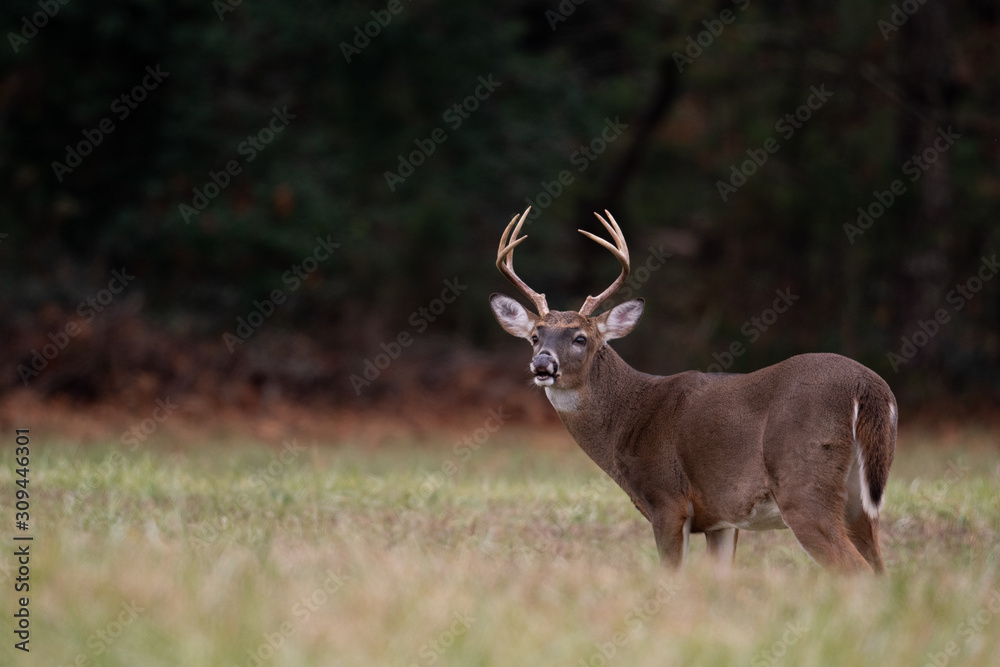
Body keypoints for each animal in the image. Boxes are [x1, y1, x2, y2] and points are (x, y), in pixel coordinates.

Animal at [489, 207, 897, 573]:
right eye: (535, 336)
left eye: (580, 338)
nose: (543, 365)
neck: (628, 420)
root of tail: (869, 387)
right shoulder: (721, 519)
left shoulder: (668, 500)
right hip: (859, 501)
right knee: (881, 570)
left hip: (805, 487)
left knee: (855, 571)